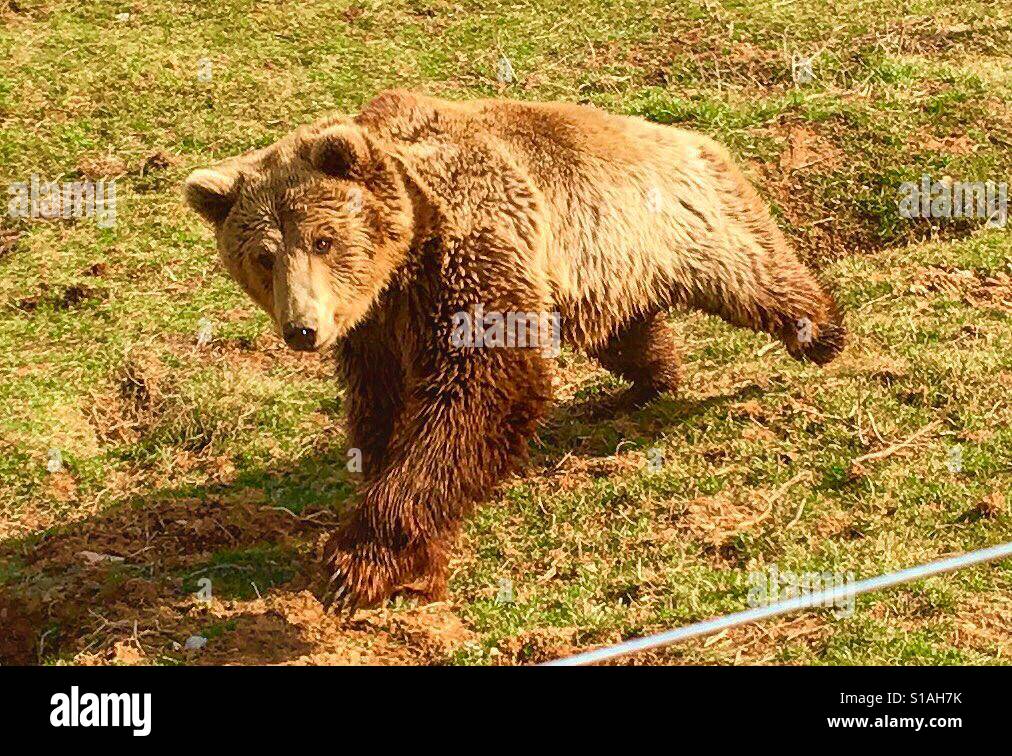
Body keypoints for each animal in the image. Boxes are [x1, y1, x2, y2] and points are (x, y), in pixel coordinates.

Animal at [184, 90, 846, 613]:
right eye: (263, 257)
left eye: (322, 240)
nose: (303, 328)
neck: (403, 261)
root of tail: (693, 135)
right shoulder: (376, 327)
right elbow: (383, 410)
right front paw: (407, 551)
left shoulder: (471, 249)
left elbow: (481, 392)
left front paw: (359, 562)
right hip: (602, 271)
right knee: (628, 335)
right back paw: (650, 379)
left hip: (676, 219)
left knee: (753, 272)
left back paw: (821, 333)